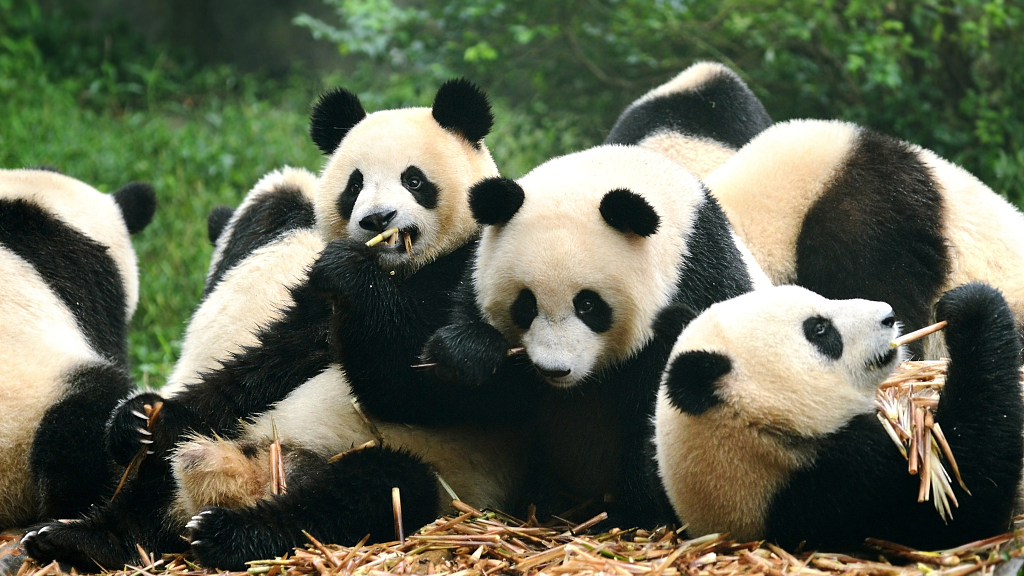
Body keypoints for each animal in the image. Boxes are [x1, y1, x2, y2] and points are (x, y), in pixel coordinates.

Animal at [24, 79, 524, 571]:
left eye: (414, 180)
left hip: (431, 468)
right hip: (237, 436)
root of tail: (258, 472)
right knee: (157, 476)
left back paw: (229, 534)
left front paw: (350, 273)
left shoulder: (468, 277)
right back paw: (80, 538)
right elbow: (263, 367)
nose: (376, 220)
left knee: (367, 493)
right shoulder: (312, 311)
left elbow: (414, 386)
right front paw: (137, 416)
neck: (398, 270)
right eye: (355, 185)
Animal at [423, 144, 769, 526]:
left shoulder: (698, 283)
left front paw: (636, 512)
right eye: (525, 304)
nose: (554, 369)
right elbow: (472, 404)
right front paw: (469, 355)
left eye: (588, 304)